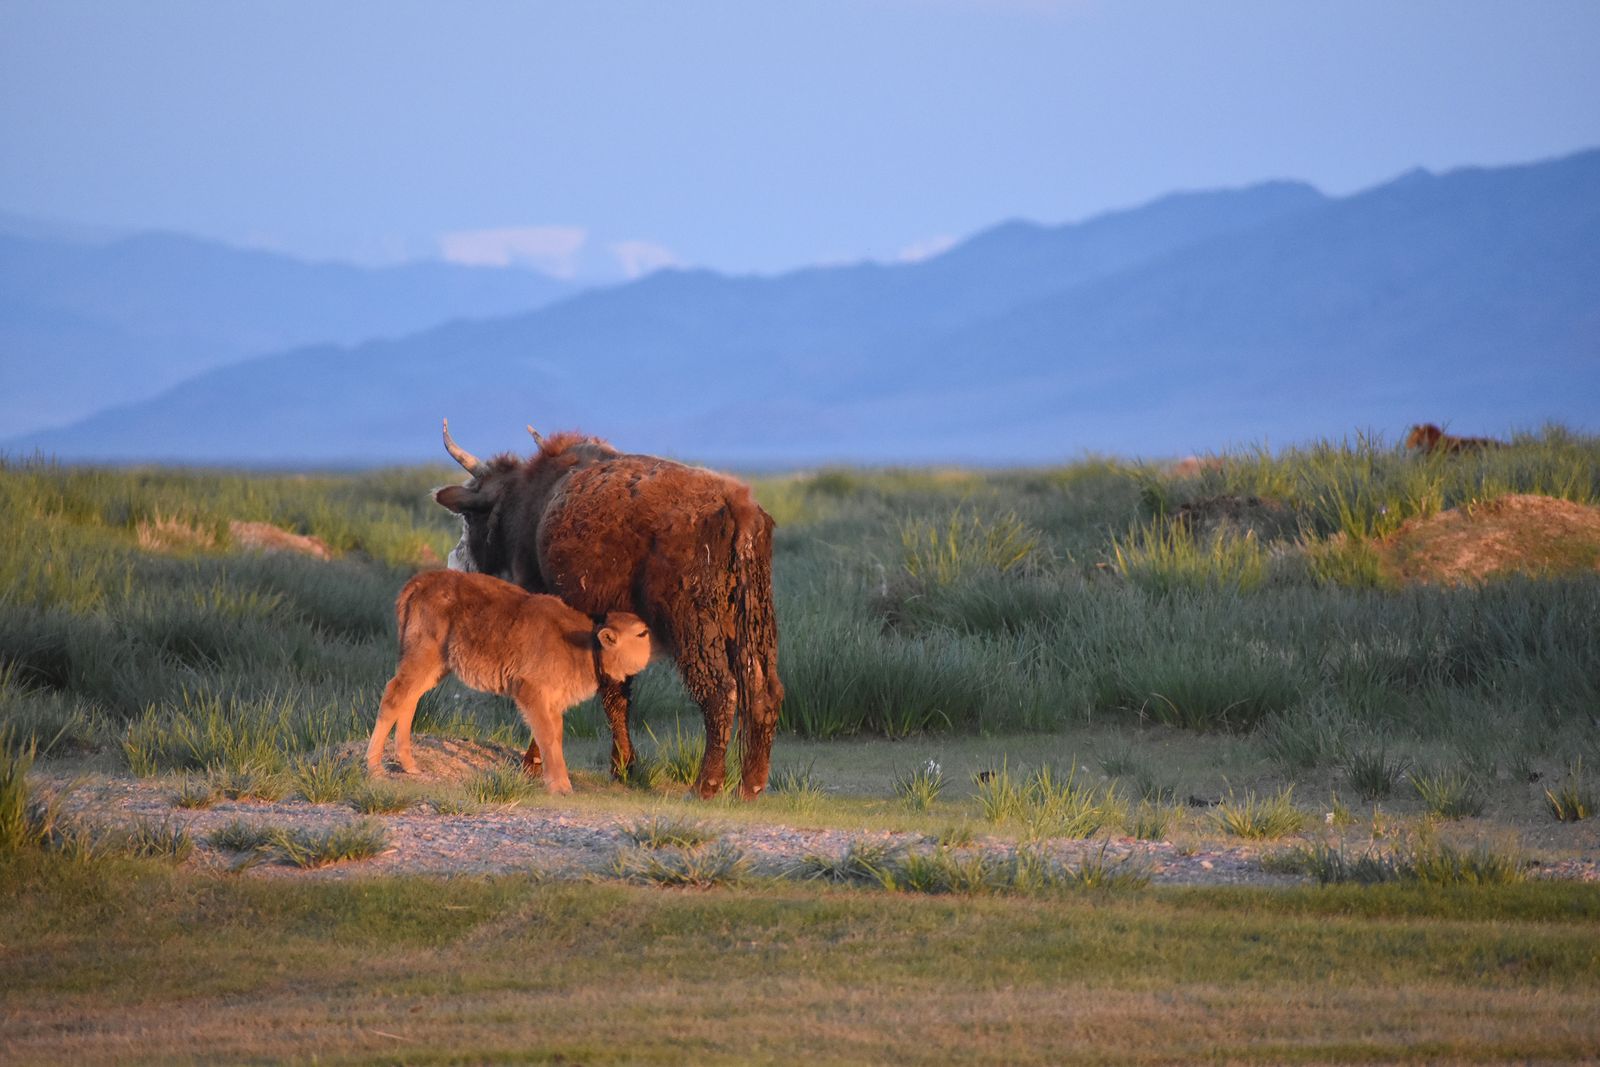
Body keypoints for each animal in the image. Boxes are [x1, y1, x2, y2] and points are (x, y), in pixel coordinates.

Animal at [366, 575, 649, 793]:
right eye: (641, 633)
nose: (652, 635)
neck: (587, 644)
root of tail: (419, 581)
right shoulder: (530, 692)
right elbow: (547, 737)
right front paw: (561, 786)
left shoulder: (553, 703)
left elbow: (554, 736)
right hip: (423, 657)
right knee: (394, 695)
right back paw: (374, 767)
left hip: (434, 666)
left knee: (409, 698)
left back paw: (409, 765)